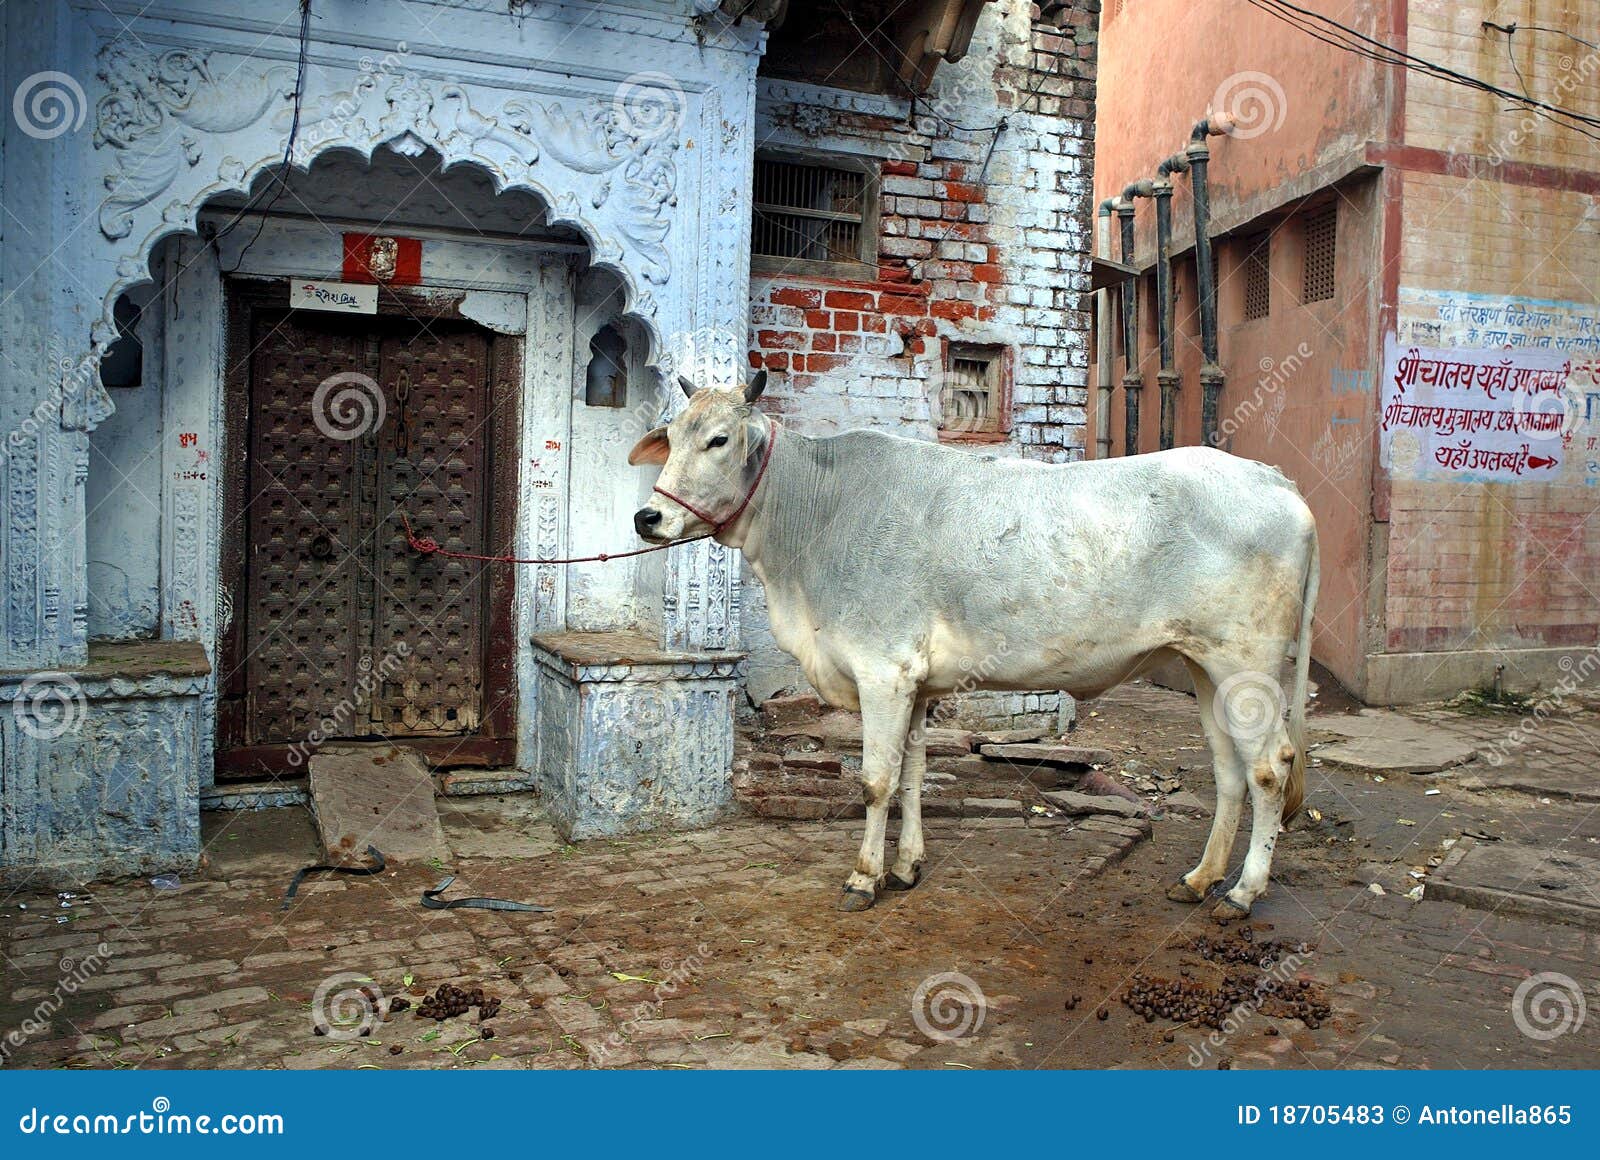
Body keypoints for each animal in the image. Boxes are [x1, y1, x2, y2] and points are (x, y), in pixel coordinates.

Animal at [629, 371, 1319, 922]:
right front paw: (906, 866)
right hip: (1204, 666)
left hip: (1247, 665)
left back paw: (1243, 893)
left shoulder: (883, 670)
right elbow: (913, 773)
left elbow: (876, 780)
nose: (647, 519)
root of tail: (1279, 483)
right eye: (673, 436)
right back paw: (1201, 879)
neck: (815, 519)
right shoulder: (916, 683)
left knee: (1269, 767)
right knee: (1229, 771)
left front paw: (864, 877)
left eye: (719, 440)